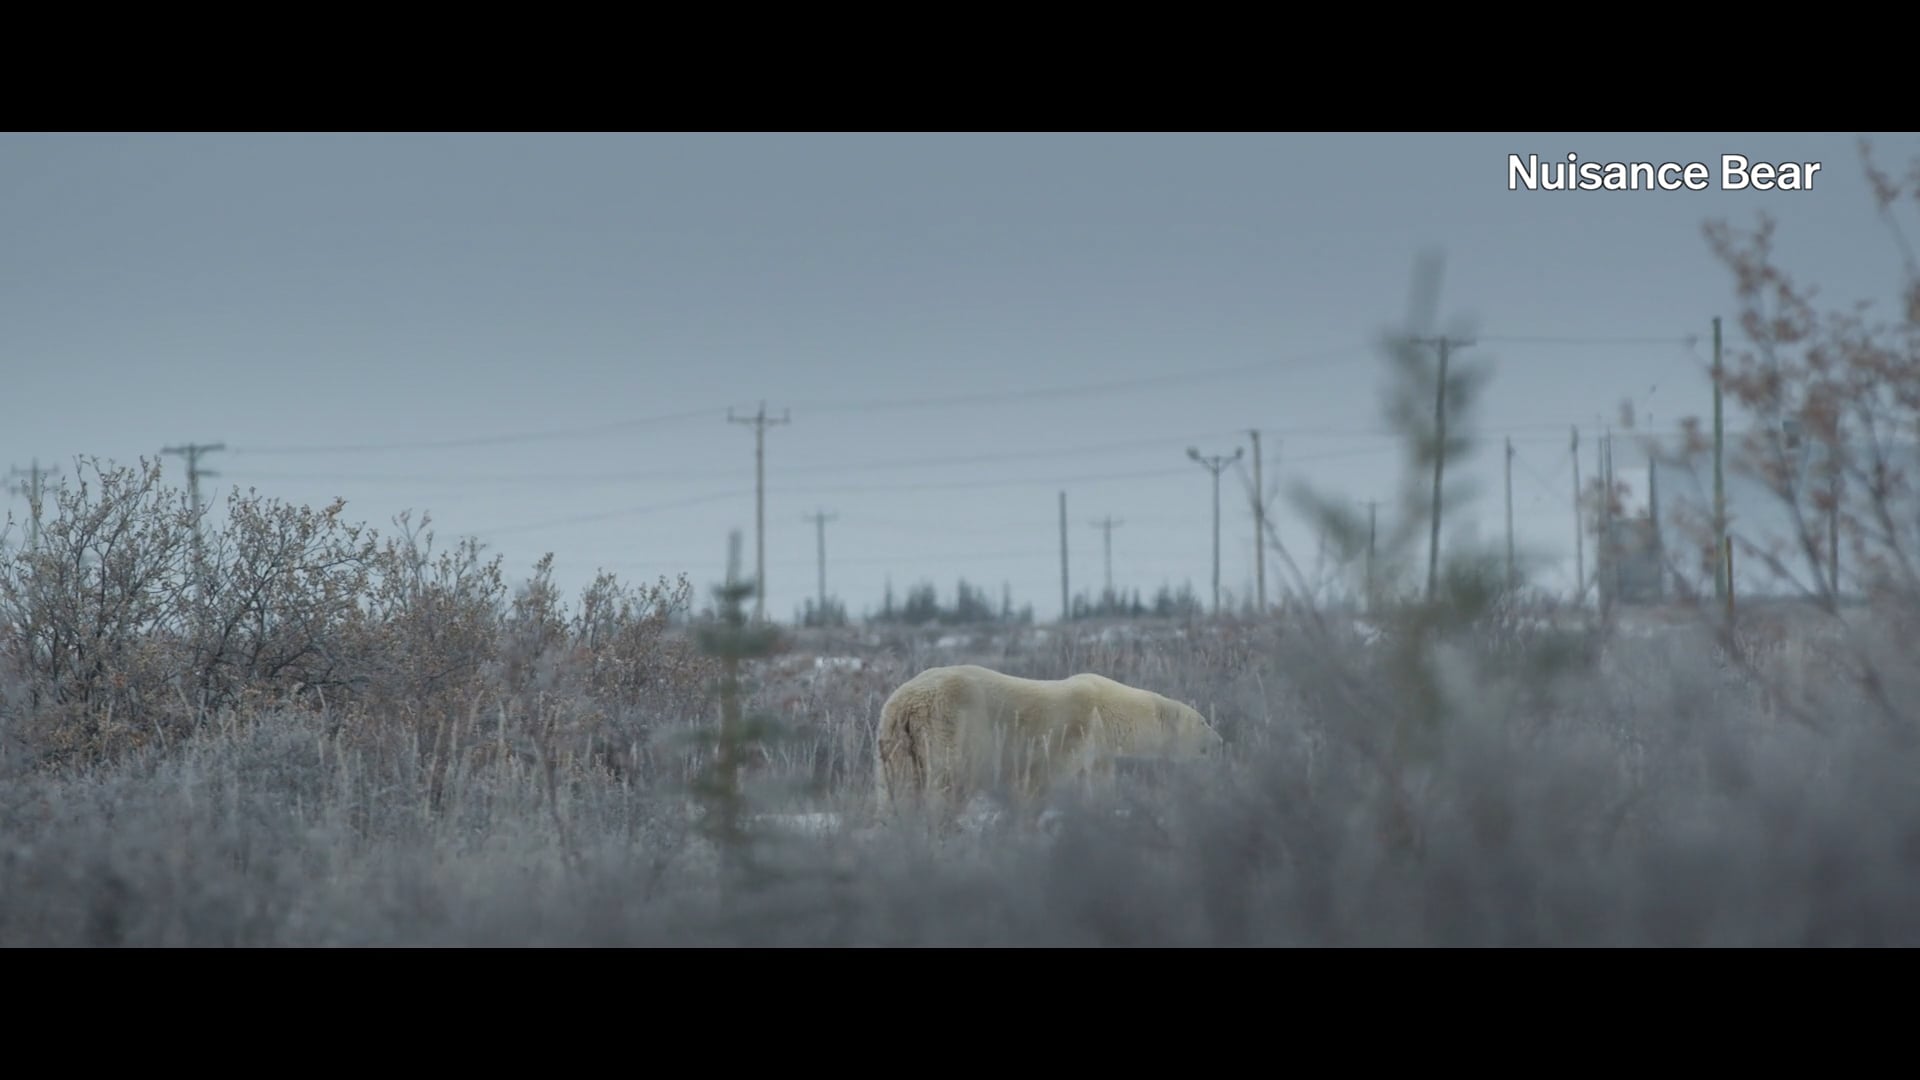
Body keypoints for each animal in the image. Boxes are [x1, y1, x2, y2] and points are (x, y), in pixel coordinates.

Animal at [873, 663, 1223, 830]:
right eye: (1204, 722)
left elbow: (1097, 782)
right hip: (949, 727)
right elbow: (1040, 780)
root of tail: (905, 704)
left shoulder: (1099, 750)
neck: (1107, 708)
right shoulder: (1073, 731)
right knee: (947, 782)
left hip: (894, 741)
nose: (1220, 740)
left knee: (898, 788)